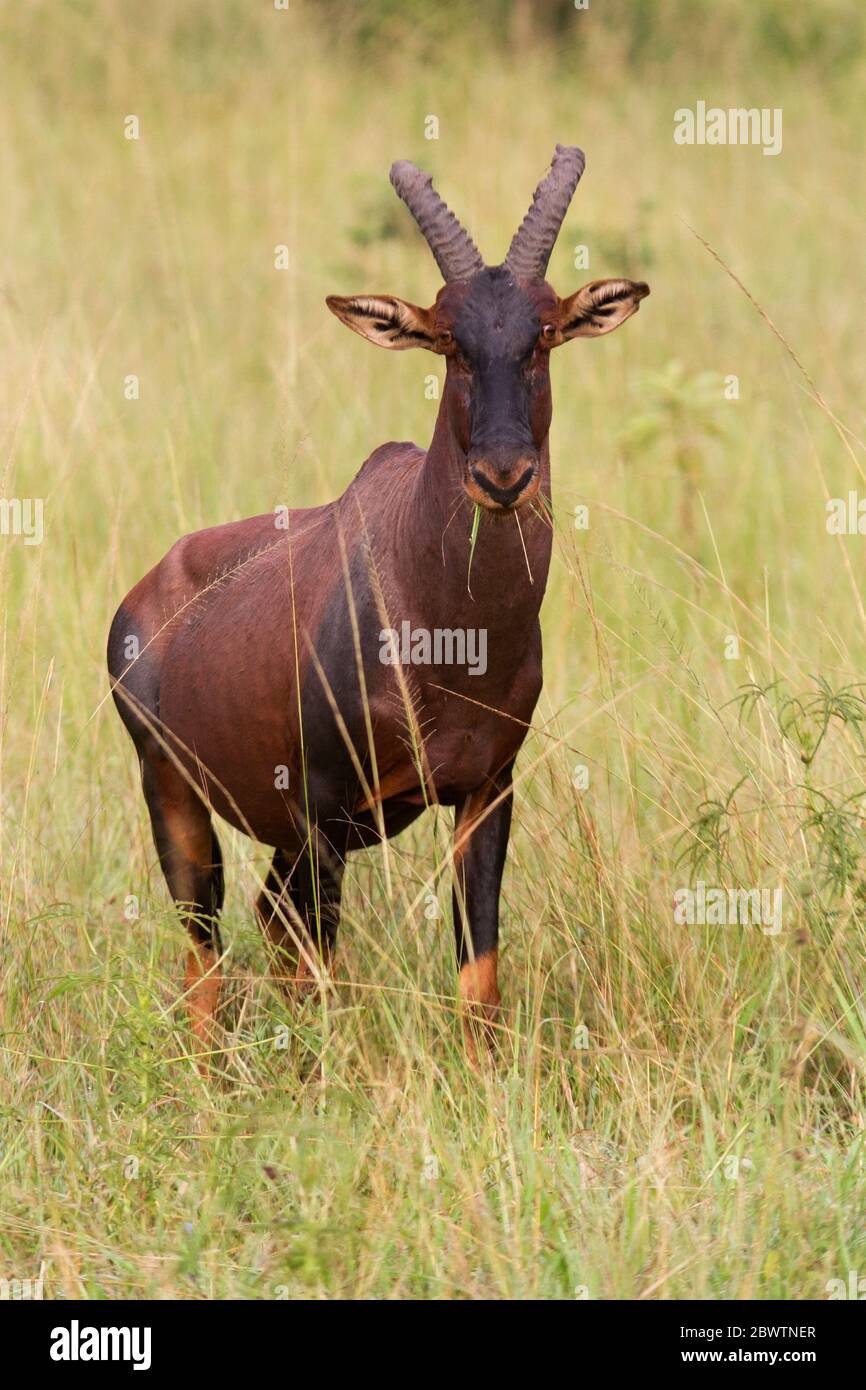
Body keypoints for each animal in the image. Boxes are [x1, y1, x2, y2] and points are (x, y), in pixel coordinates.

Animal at [107, 145, 649, 1057]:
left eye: (543, 332)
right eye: (448, 340)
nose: (503, 475)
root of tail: (145, 594)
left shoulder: (487, 790)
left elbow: (478, 971)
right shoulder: (324, 807)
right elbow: (324, 977)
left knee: (268, 922)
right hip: (176, 796)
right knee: (206, 953)